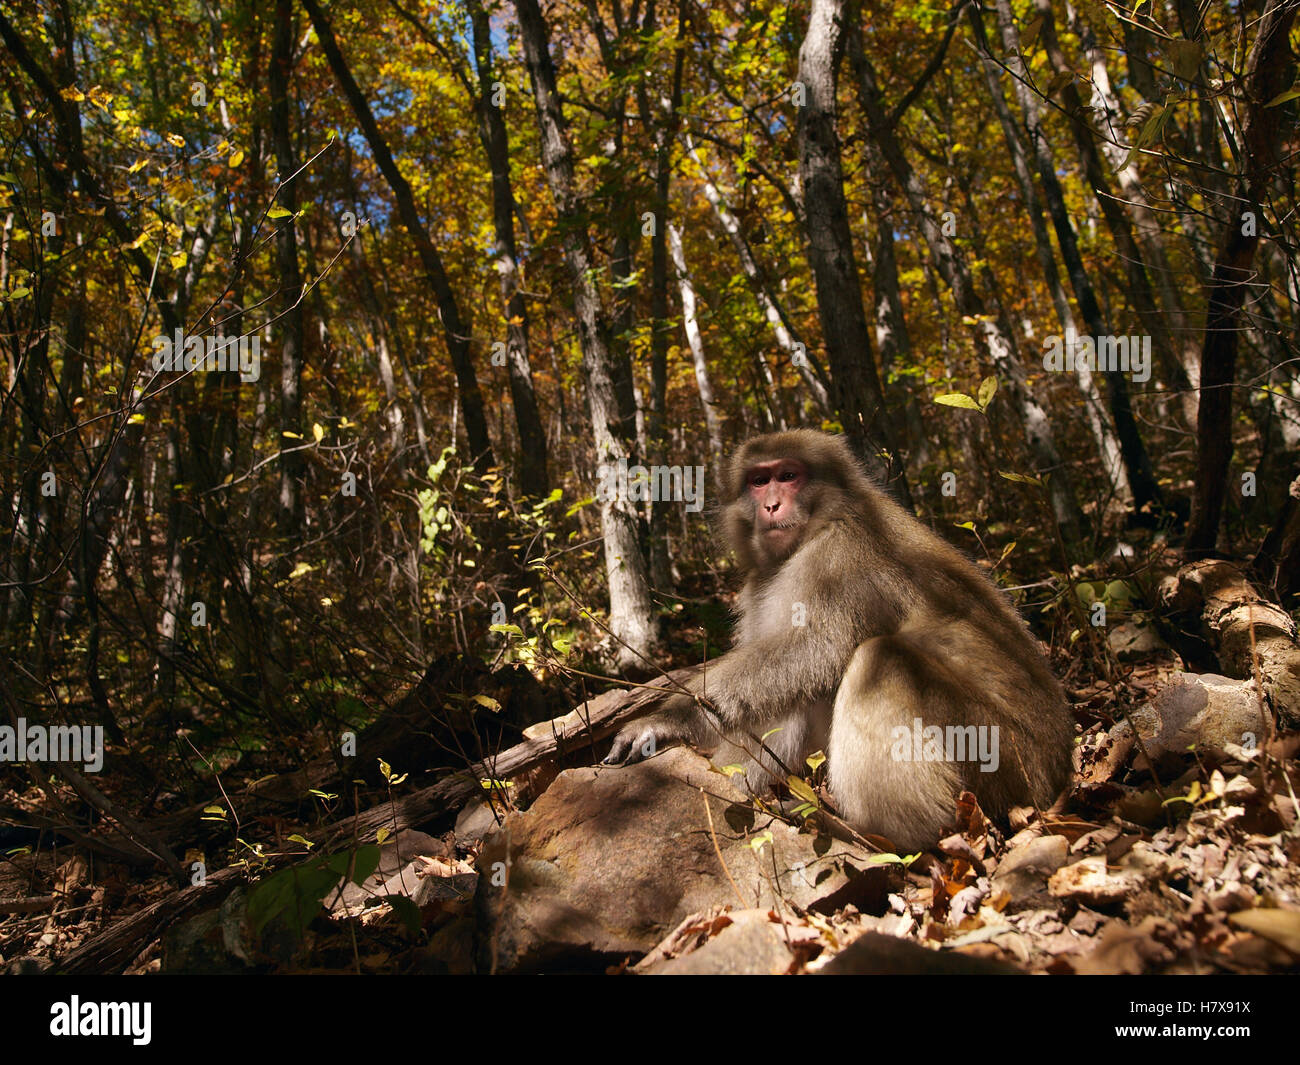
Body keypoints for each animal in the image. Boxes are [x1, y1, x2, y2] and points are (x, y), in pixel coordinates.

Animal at [603, 429, 1073, 851]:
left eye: (788, 475)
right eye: (759, 480)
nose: (771, 505)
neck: (818, 526)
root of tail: (1058, 770)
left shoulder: (840, 557)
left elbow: (818, 648)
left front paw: (671, 718)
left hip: (1003, 758)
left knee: (880, 657)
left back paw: (890, 837)